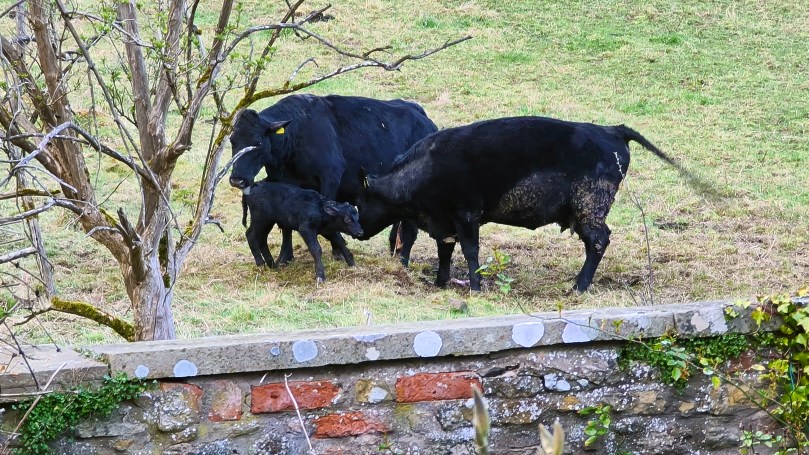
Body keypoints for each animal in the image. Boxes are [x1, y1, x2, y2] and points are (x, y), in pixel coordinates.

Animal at [228, 94, 438, 266]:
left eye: (258, 143)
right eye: (232, 141)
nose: (237, 180)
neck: (298, 136)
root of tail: (423, 117)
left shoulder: (330, 178)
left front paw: (338, 251)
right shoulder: (283, 184)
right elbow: (285, 224)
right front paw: (285, 257)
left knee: (410, 230)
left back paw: (403, 262)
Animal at [356, 116, 701, 292]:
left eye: (361, 199)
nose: (357, 230)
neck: (425, 166)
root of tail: (611, 130)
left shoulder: (467, 214)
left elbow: (470, 250)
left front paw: (476, 286)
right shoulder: (444, 222)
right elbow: (446, 250)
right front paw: (441, 282)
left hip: (589, 206)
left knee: (599, 241)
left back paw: (579, 286)